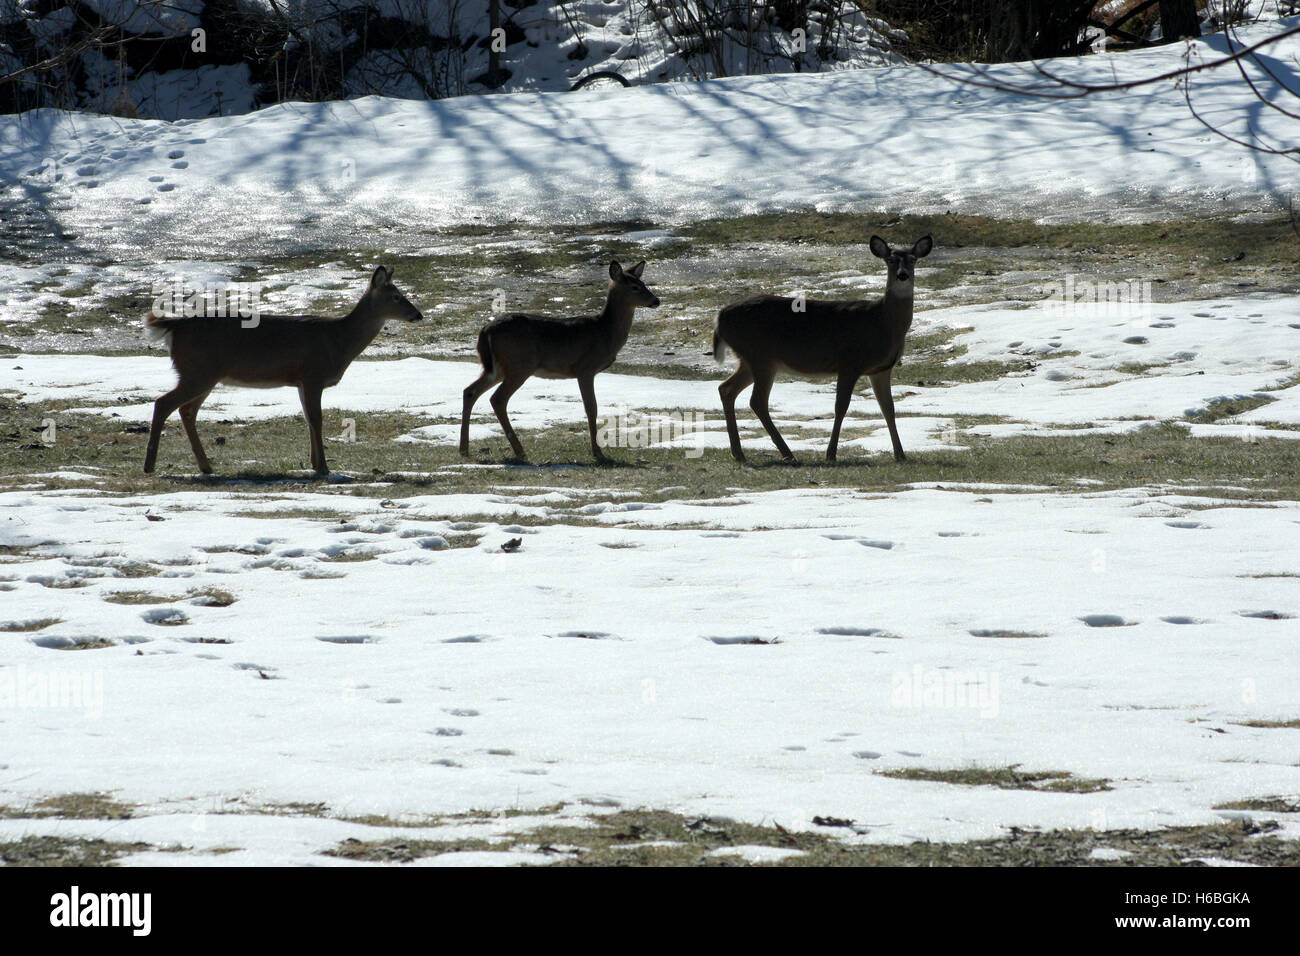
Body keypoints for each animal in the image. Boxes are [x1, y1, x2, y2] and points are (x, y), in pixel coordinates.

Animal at [142, 266, 422, 476]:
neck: (338, 341)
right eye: (396, 296)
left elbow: (308, 418)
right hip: (198, 371)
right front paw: (323, 467)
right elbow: (317, 418)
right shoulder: (312, 374)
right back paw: (150, 465)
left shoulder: (300, 381)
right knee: (163, 403)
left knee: (186, 410)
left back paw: (206, 466)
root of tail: (174, 327)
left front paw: (314, 463)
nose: (418, 315)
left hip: (204, 375)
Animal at [460, 260, 660, 463]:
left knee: (470, 391)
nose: (656, 301)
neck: (605, 332)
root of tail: (486, 330)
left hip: (498, 368)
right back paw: (520, 451)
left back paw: (464, 449)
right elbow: (591, 408)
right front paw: (598, 452)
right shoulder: (585, 368)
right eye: (635, 287)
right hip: (520, 365)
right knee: (497, 399)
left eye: (644, 283)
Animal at [712, 235, 932, 464]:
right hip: (760, 356)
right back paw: (787, 454)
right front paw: (831, 453)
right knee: (757, 401)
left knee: (726, 389)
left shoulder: (881, 369)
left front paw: (901, 454)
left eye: (913, 260)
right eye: (890, 260)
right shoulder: (850, 362)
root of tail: (720, 317)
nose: (902, 275)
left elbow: (888, 408)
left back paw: (739, 452)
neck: (883, 322)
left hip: (750, 359)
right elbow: (841, 406)